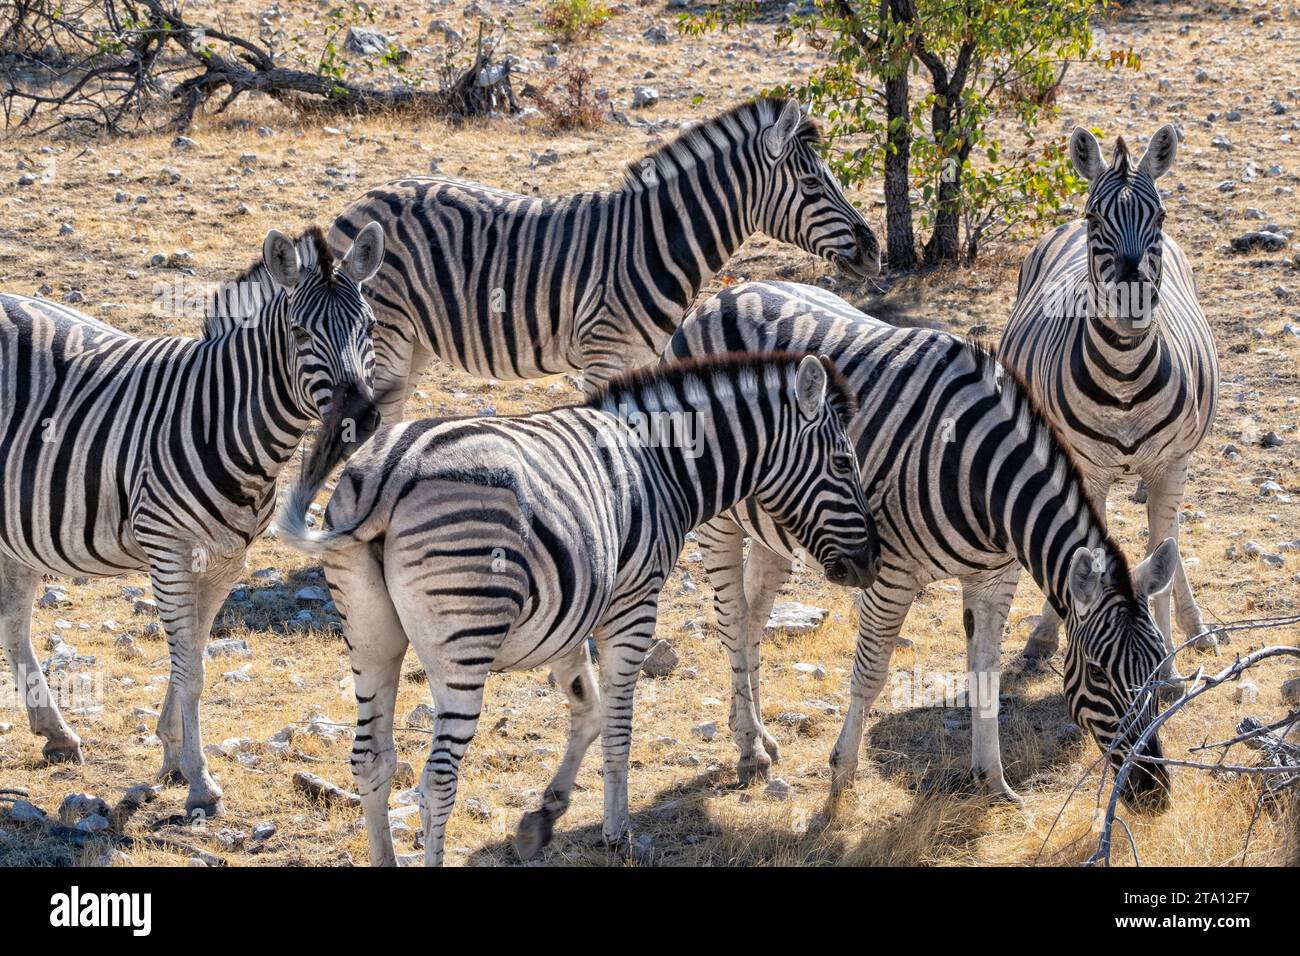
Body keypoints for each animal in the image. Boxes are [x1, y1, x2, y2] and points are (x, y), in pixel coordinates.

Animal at [0, 223, 384, 817]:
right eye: (299, 333)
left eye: (369, 327)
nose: (360, 417)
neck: (227, 424)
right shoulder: (168, 550)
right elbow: (192, 669)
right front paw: (200, 781)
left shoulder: (227, 560)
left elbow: (192, 660)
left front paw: (174, 754)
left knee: (14, 621)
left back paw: (57, 734)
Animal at [279, 352, 880, 865]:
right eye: (844, 461)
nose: (871, 562)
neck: (662, 466)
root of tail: (392, 471)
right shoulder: (633, 606)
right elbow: (617, 726)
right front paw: (618, 834)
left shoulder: (569, 619)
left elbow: (587, 712)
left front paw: (544, 817)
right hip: (463, 646)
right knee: (436, 783)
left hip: (370, 637)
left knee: (371, 761)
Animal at [328, 96, 881, 420]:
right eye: (812, 184)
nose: (874, 250)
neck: (656, 240)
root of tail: (360, 200)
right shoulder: (603, 356)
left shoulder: (643, 358)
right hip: (387, 334)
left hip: (414, 340)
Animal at [663, 281, 1176, 812]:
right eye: (1097, 673)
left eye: (1161, 671)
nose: (1153, 792)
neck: (982, 474)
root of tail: (725, 294)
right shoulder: (890, 574)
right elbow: (869, 675)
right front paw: (839, 781)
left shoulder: (996, 579)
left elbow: (986, 675)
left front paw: (993, 783)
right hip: (719, 519)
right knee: (732, 619)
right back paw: (749, 749)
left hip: (780, 528)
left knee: (754, 617)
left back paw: (759, 735)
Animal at [998, 126, 1219, 670]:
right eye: (1095, 218)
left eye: (1159, 217)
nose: (1131, 306)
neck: (1125, 380)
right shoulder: (1087, 469)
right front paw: (1054, 638)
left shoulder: (1172, 463)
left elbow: (1163, 554)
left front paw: (1167, 664)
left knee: (1170, 535)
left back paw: (1197, 627)